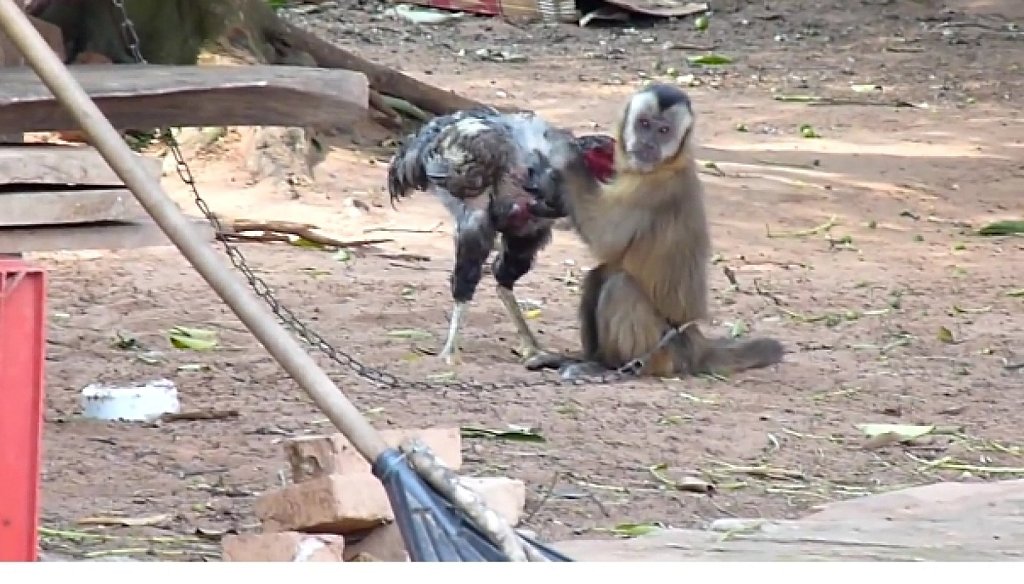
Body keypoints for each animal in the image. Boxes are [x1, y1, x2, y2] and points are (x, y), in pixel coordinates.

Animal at [526, 83, 785, 380]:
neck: (666, 164)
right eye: (644, 124)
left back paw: (612, 367)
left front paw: (566, 155)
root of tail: (696, 345)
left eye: (663, 131)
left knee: (620, 286)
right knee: (599, 276)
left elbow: (606, 237)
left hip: (664, 352)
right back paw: (584, 358)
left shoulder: (655, 189)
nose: (648, 144)